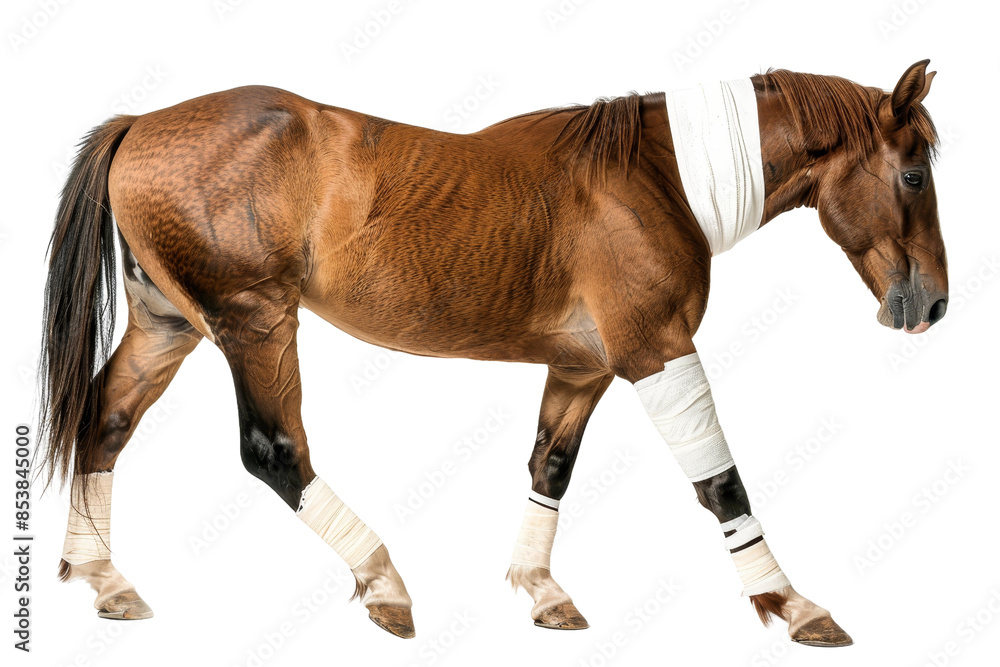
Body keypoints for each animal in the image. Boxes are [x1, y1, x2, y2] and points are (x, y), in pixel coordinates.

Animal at [39, 59, 946, 647]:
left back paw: (104, 578)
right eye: (912, 175)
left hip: (170, 324)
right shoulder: (658, 349)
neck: (659, 176)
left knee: (105, 421)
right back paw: (383, 579)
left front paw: (541, 590)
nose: (933, 303)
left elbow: (551, 466)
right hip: (253, 321)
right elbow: (720, 482)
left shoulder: (585, 366)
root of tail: (140, 124)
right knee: (273, 450)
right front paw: (790, 602)